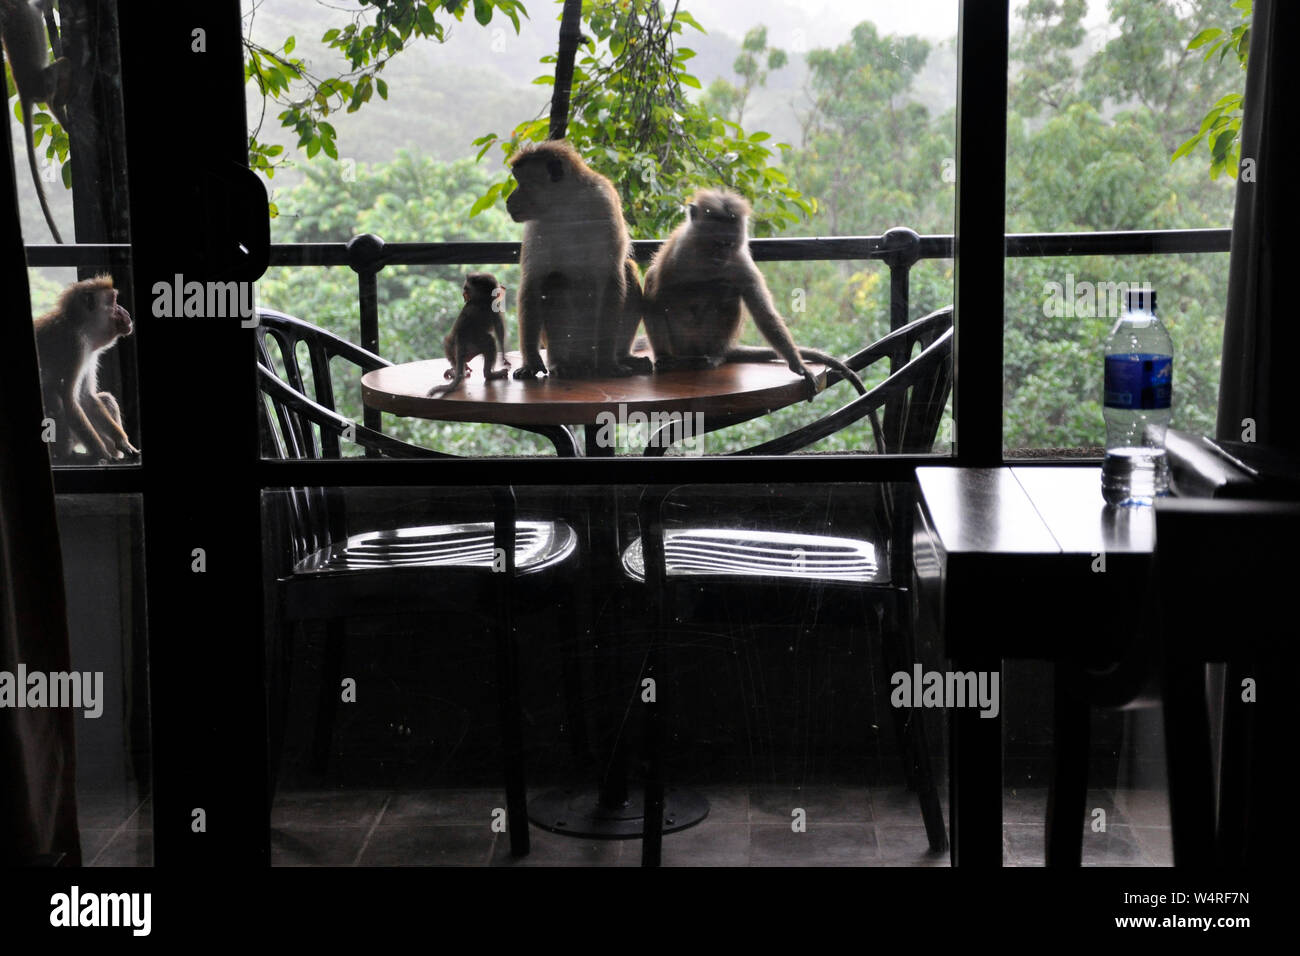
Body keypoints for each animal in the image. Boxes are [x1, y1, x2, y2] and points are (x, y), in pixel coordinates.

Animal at [1, 0, 71, 244]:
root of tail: (23, 89)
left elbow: (42, 6)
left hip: (42, 85)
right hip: (44, 82)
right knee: (60, 70)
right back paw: (60, 100)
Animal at [33, 275, 139, 462]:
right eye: (114, 301)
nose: (124, 311)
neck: (82, 327)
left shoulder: (90, 352)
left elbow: (86, 397)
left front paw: (123, 443)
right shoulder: (76, 346)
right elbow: (69, 400)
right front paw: (103, 455)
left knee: (104, 398)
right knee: (55, 397)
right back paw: (67, 455)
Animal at [504, 140, 652, 380]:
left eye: (522, 183)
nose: (509, 201)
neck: (568, 204)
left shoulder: (604, 204)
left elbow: (612, 275)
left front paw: (608, 362)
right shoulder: (537, 225)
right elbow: (534, 281)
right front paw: (531, 362)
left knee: (627, 269)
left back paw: (620, 357)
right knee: (555, 281)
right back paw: (562, 363)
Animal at [642, 189, 866, 401]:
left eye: (728, 244)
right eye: (716, 242)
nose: (721, 257)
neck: (706, 260)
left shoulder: (740, 263)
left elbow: (762, 312)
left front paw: (798, 366)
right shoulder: (678, 253)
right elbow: (661, 292)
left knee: (730, 298)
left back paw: (715, 356)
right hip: (680, 342)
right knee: (654, 289)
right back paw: (666, 358)